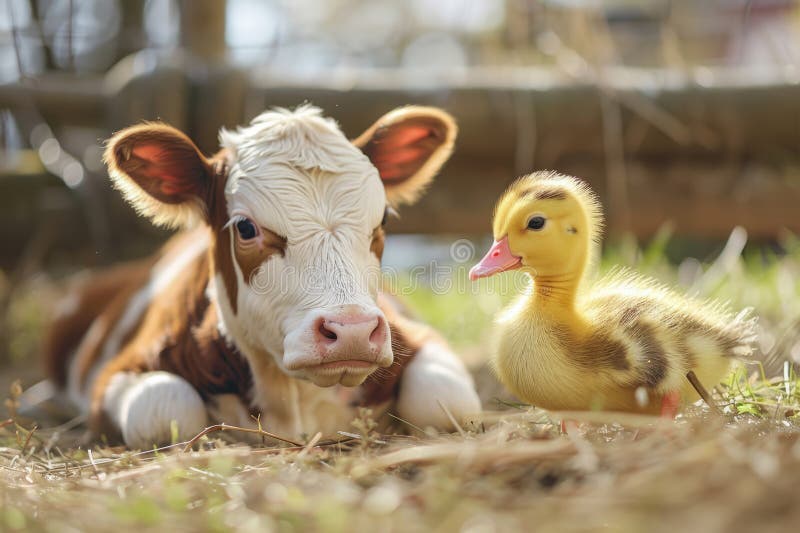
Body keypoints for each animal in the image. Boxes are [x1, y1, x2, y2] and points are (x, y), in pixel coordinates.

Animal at [43, 105, 481, 448]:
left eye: (384, 218)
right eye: (245, 227)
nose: (352, 331)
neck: (292, 403)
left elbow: (446, 400)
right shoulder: (118, 375)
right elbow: (163, 408)